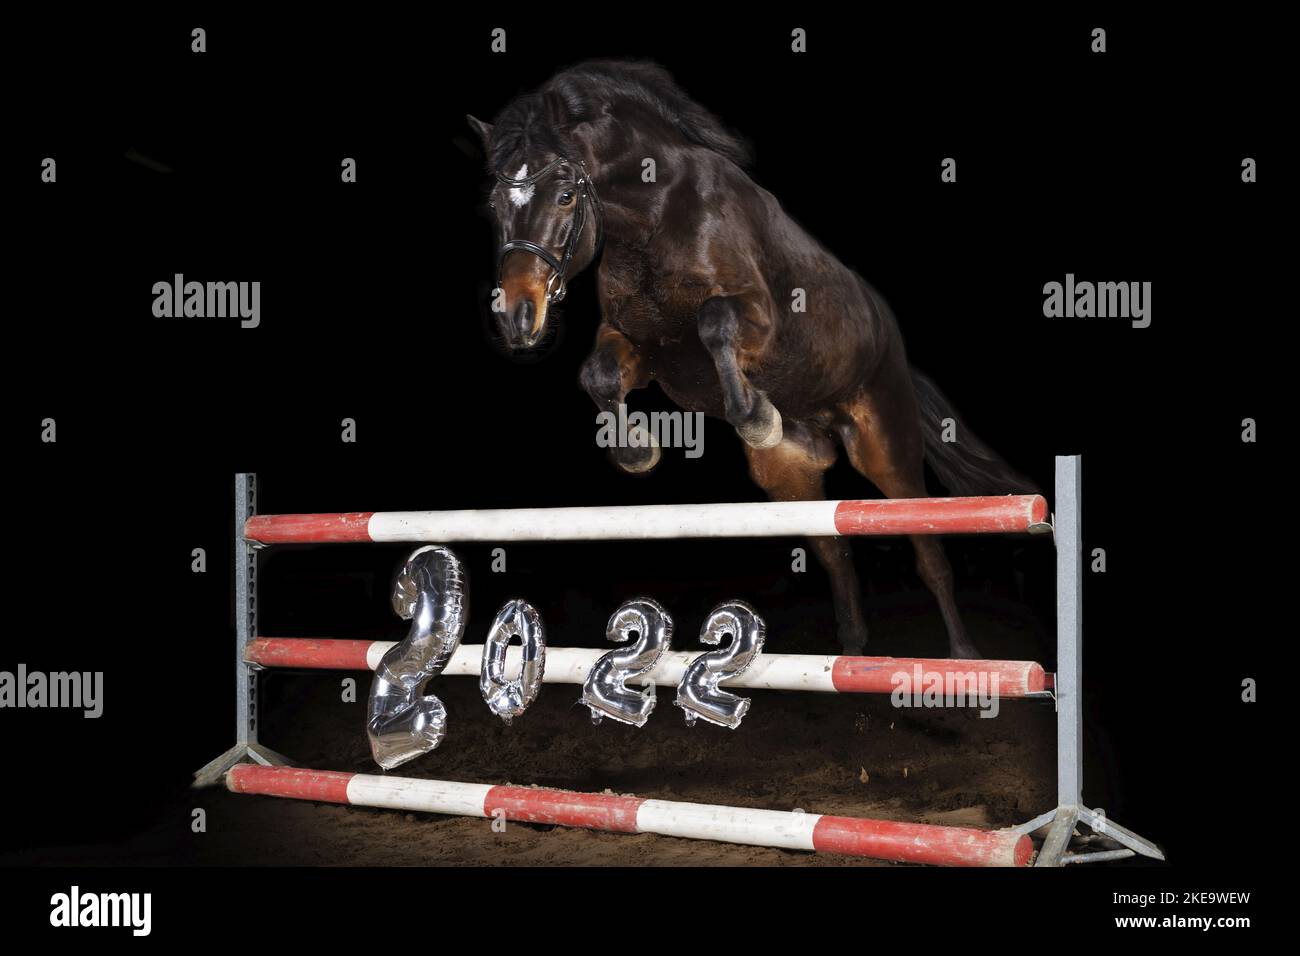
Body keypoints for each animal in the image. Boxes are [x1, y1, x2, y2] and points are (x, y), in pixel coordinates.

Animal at [468, 60, 1033, 658]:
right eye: (496, 207)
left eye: (565, 198)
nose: (518, 318)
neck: (653, 218)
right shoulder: (641, 346)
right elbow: (598, 375)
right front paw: (638, 452)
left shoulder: (758, 318)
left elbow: (716, 323)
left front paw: (756, 416)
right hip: (789, 475)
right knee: (836, 554)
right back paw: (851, 656)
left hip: (885, 445)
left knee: (927, 551)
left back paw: (964, 659)